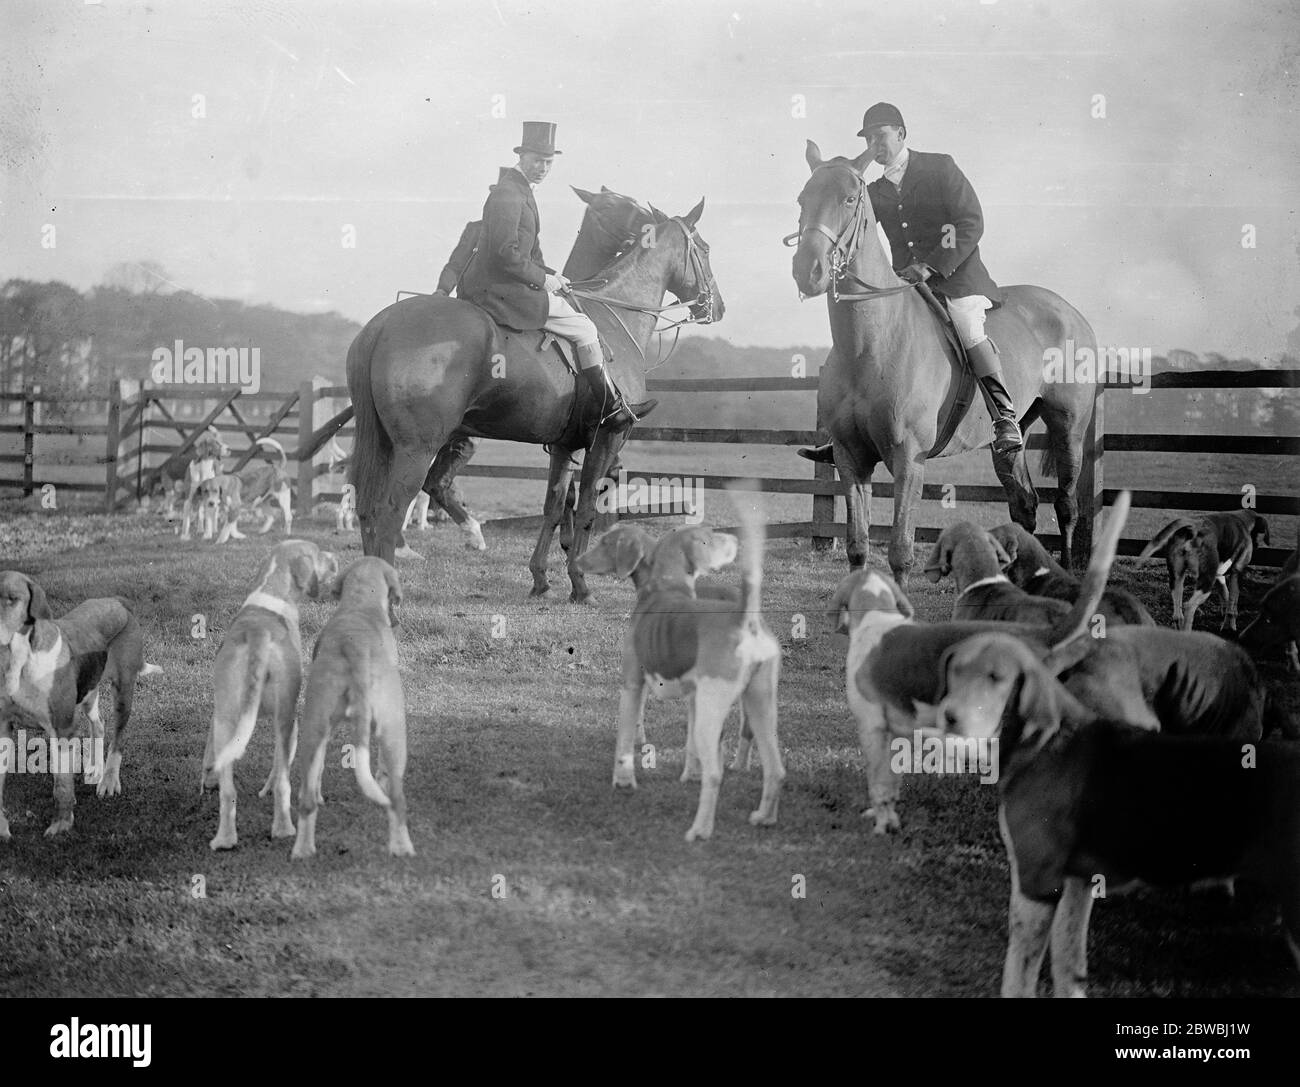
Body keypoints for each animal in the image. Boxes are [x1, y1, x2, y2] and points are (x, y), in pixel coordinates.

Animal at [345, 198, 722, 598]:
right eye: (705, 249)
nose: (717, 307)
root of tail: (382, 324)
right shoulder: (609, 437)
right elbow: (586, 509)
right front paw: (580, 583)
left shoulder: (564, 446)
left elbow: (554, 507)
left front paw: (541, 578)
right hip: (417, 447)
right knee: (390, 509)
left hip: (386, 443)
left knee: (369, 509)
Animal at [790, 146, 1097, 585]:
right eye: (802, 200)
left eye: (849, 199)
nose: (808, 270)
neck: (866, 347)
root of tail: (1070, 310)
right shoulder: (851, 459)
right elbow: (857, 547)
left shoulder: (908, 459)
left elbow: (900, 550)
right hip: (1013, 437)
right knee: (1024, 505)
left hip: (1068, 426)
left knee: (1067, 506)